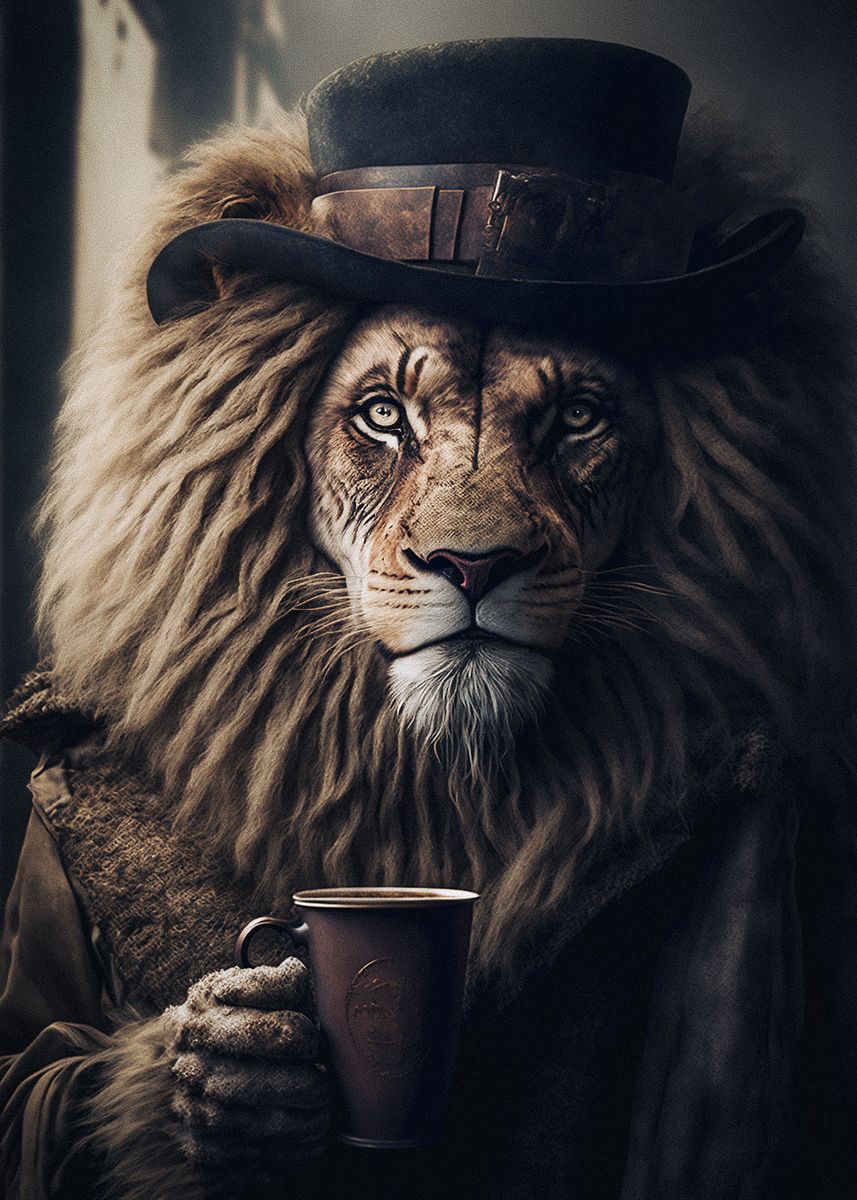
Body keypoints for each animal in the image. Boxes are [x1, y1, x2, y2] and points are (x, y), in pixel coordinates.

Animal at [2, 60, 856, 1200]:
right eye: (381, 415)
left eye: (576, 418)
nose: (473, 565)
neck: (430, 779)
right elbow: (36, 1059)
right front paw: (228, 1080)